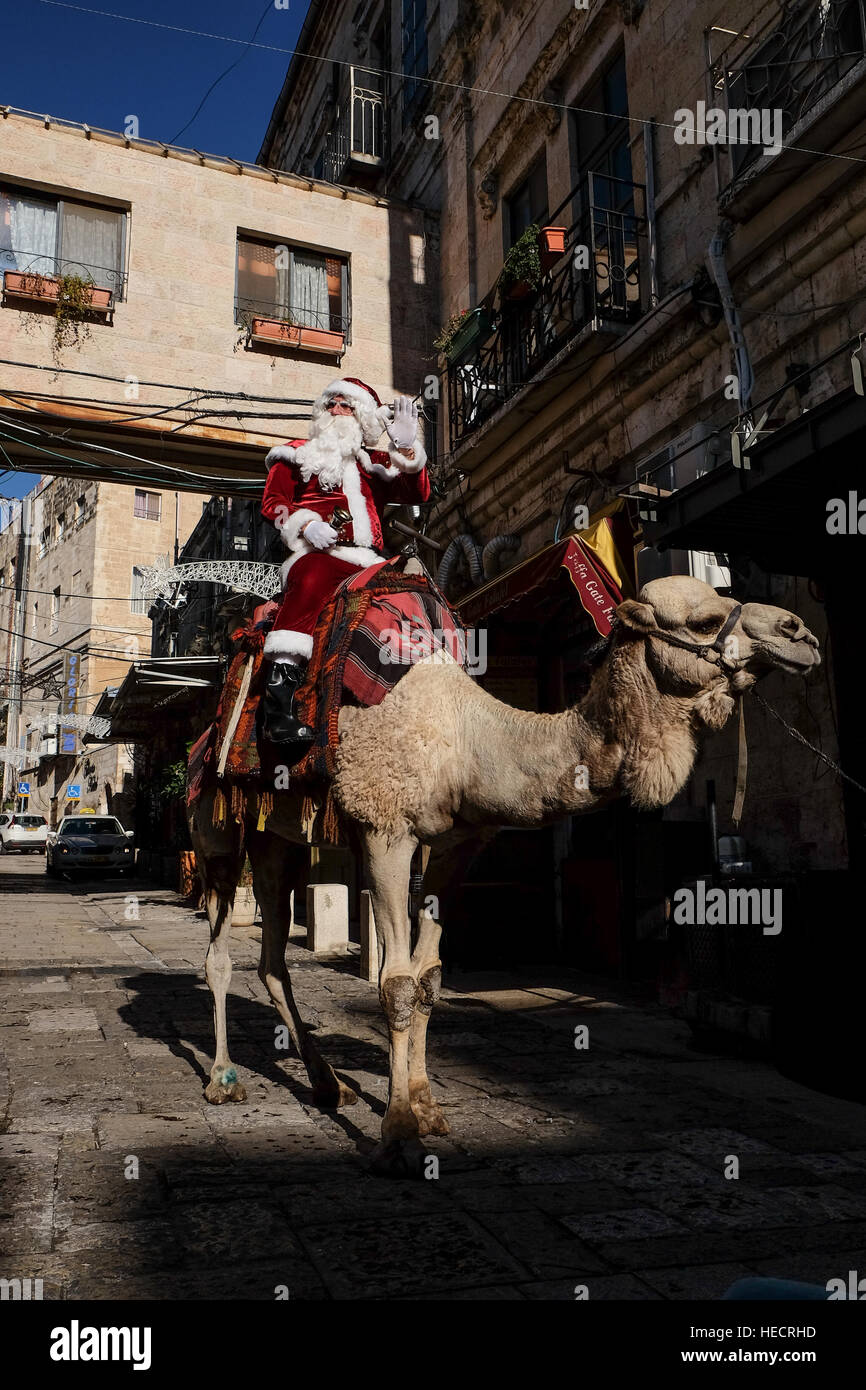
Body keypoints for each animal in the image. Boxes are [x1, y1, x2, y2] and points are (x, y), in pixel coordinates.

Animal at [188, 574, 820, 1173]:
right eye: (705, 619)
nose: (800, 633)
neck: (467, 744)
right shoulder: (384, 828)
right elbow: (394, 984)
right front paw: (399, 1137)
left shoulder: (456, 846)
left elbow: (428, 979)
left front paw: (427, 1110)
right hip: (215, 824)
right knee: (218, 946)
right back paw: (223, 1079)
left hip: (278, 837)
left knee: (273, 957)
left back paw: (328, 1086)